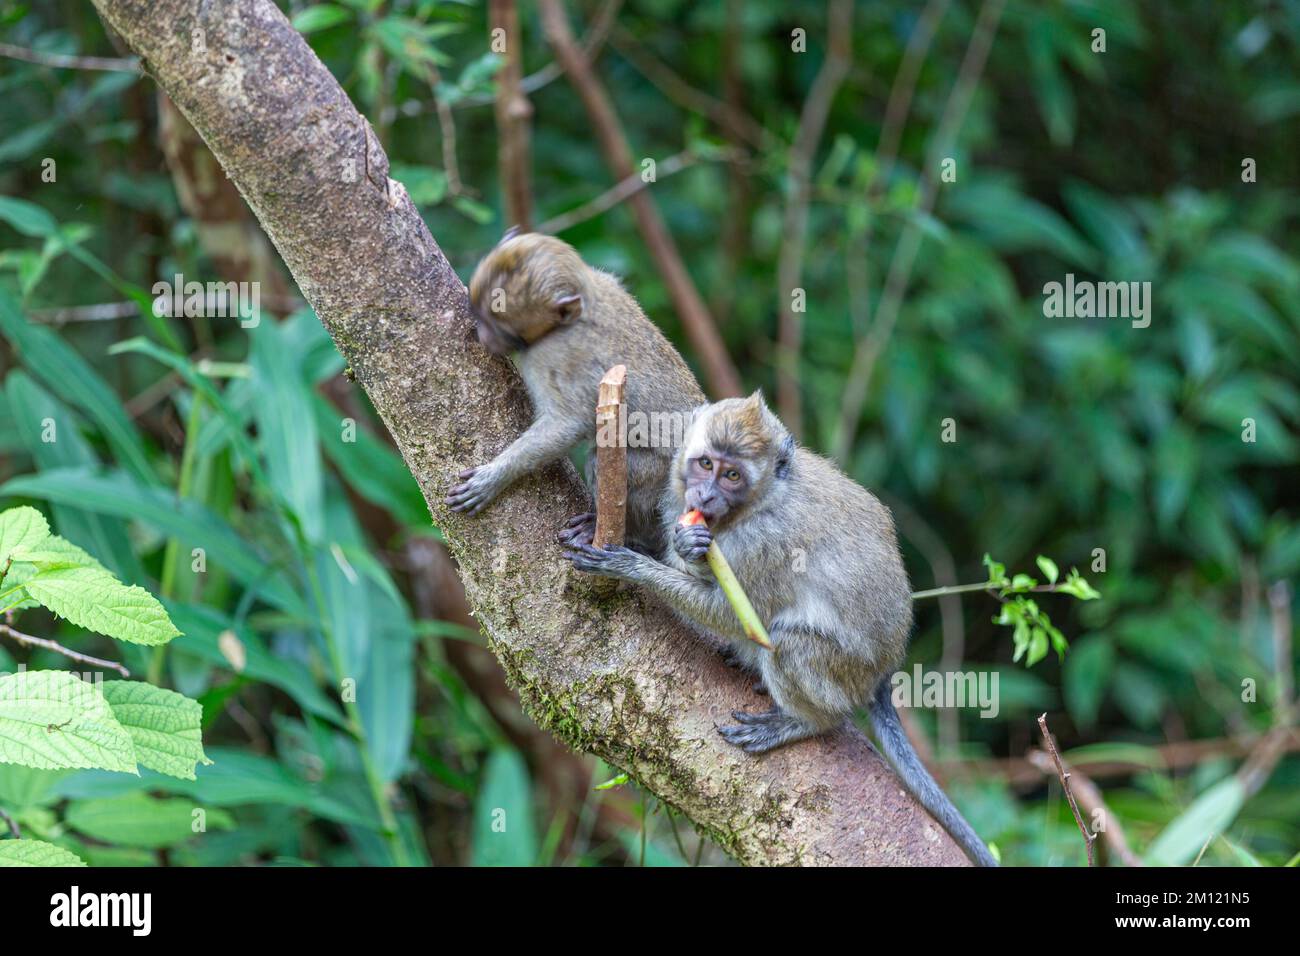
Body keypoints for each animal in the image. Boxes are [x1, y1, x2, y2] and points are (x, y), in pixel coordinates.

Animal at [446, 232, 706, 555]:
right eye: (478, 315)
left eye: (501, 328)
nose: (484, 337)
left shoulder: (553, 354)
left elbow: (567, 424)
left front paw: (495, 476)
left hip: (663, 479)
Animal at [562, 392, 998, 866]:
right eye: (705, 464)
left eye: (733, 475)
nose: (706, 495)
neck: (757, 503)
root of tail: (884, 671)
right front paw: (678, 544)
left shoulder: (761, 543)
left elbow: (735, 615)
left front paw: (630, 565)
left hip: (845, 672)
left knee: (790, 642)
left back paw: (808, 721)